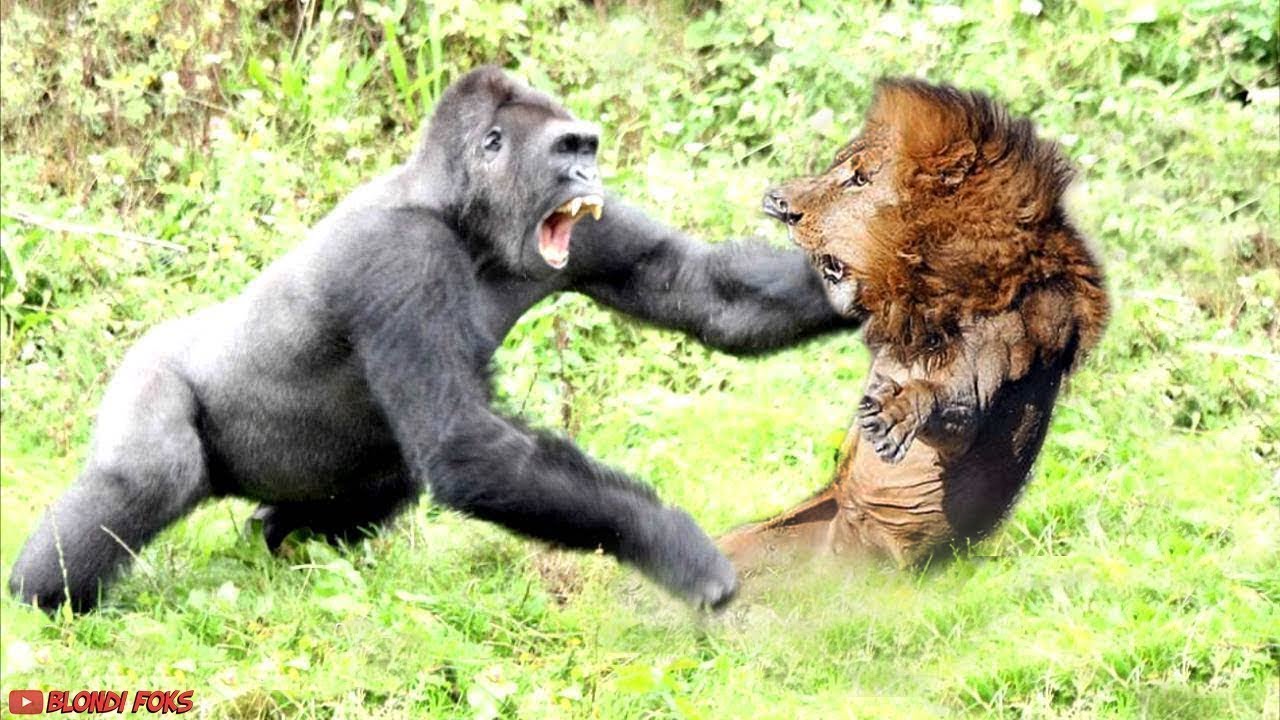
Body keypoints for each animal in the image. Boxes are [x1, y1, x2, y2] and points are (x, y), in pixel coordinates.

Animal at [721, 78, 1109, 569]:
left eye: (860, 179)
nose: (777, 204)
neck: (922, 287)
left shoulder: (994, 367)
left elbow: (945, 400)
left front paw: (894, 414)